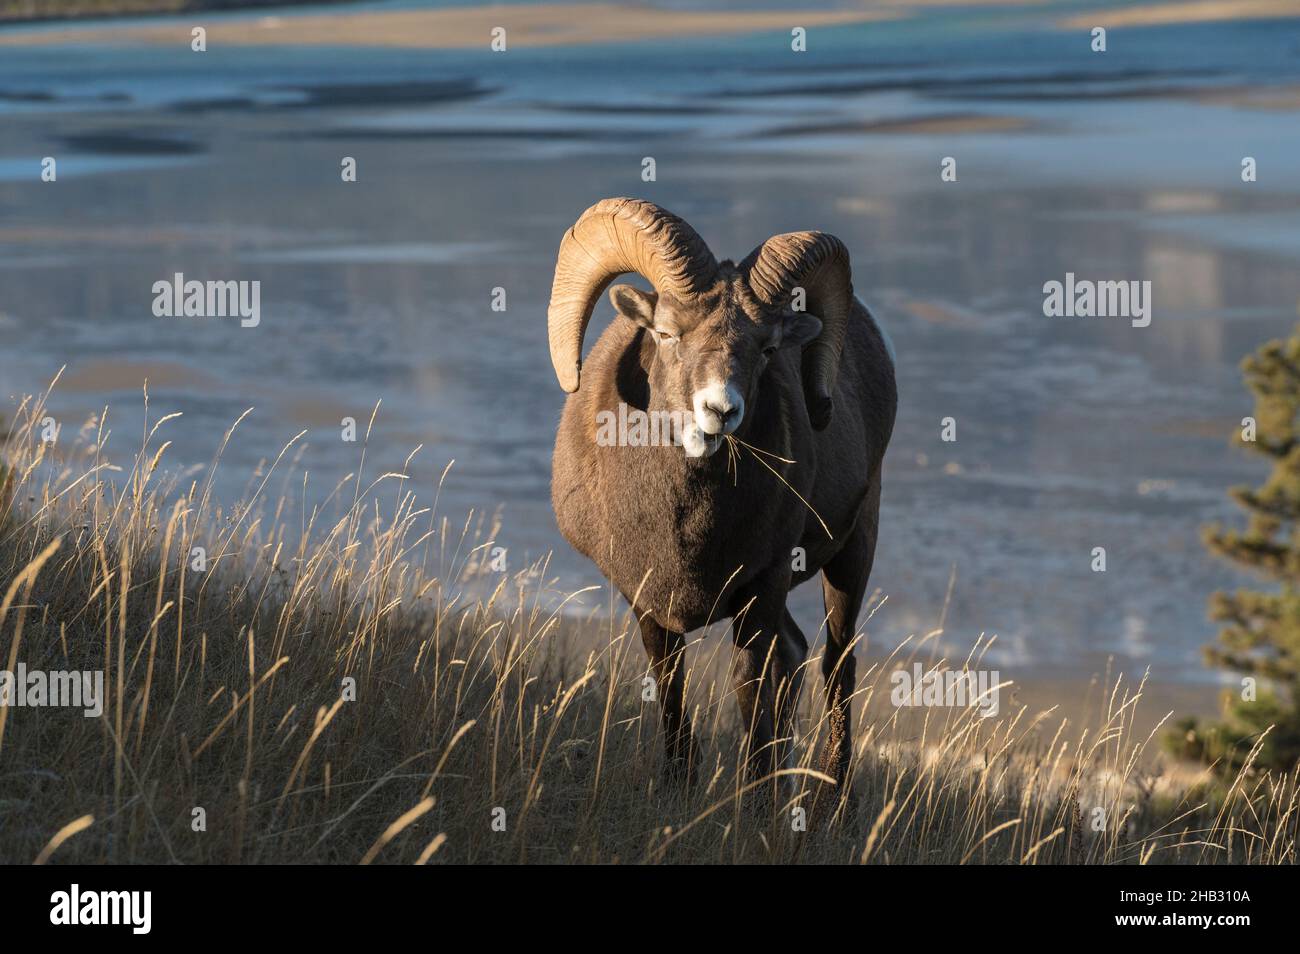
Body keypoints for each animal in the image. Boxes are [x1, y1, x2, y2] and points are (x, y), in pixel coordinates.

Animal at [547, 197, 896, 797]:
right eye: (667, 333)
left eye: (768, 348)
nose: (719, 410)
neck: (687, 524)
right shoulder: (649, 602)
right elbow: (670, 686)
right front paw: (680, 782)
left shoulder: (763, 586)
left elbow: (749, 688)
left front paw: (754, 801)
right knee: (797, 654)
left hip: (853, 552)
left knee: (836, 665)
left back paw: (833, 797)